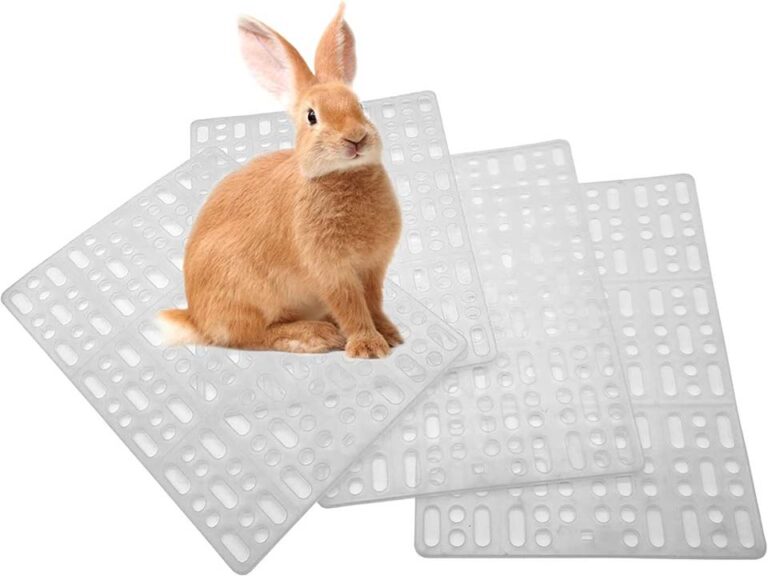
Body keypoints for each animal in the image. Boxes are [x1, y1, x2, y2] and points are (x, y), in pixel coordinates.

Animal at [158, 3, 403, 359]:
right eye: (312, 116)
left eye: (360, 106)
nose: (355, 139)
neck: (343, 175)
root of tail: (196, 317)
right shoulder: (331, 271)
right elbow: (352, 306)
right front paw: (368, 347)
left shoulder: (372, 267)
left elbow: (373, 302)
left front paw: (390, 335)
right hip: (243, 288)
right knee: (250, 335)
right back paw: (313, 335)